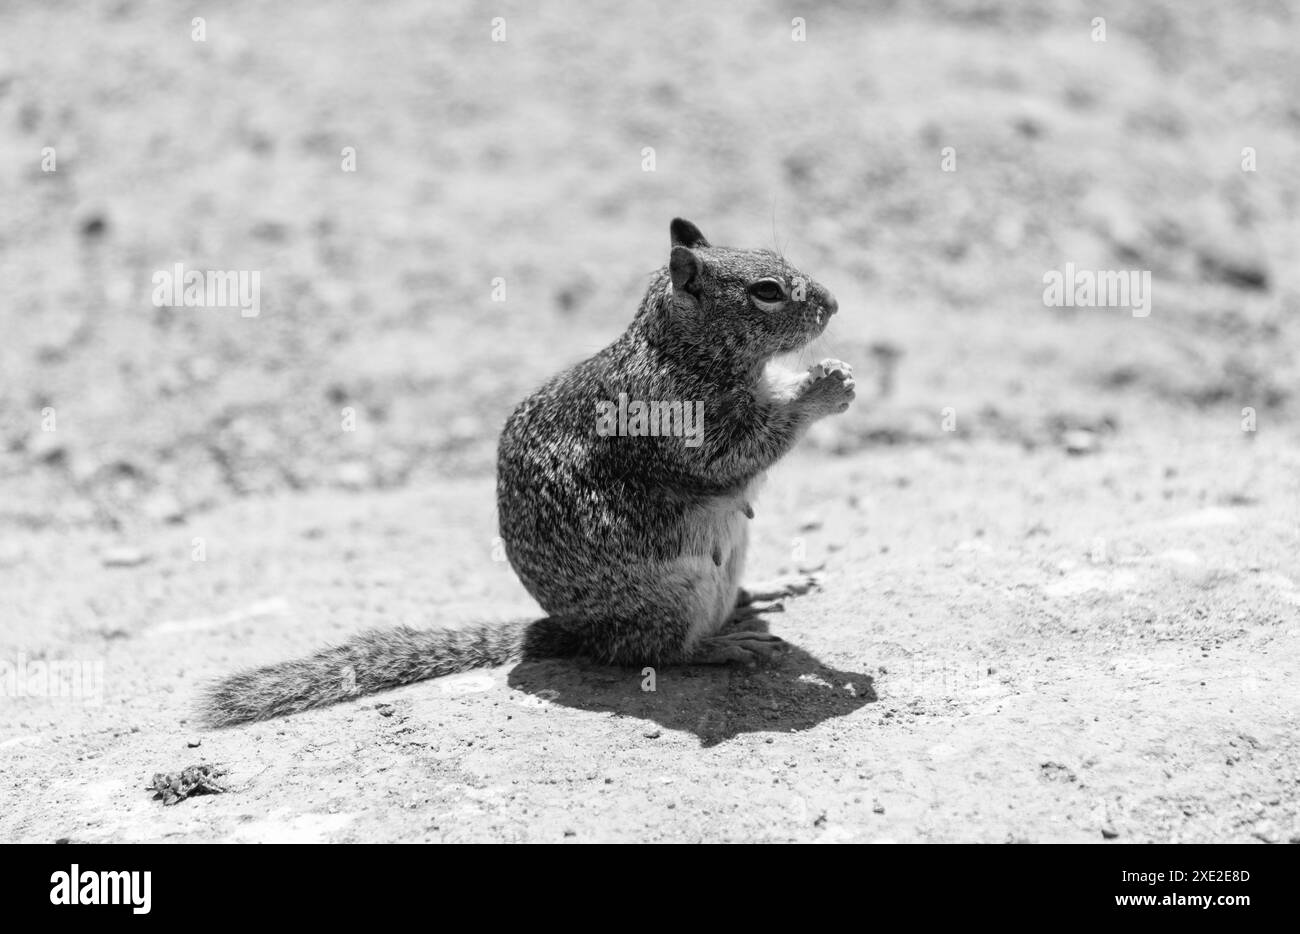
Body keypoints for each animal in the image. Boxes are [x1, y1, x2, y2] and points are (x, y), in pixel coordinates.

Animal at [202, 218, 854, 726]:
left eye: (776, 256)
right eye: (766, 291)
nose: (834, 303)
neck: (681, 348)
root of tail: (576, 633)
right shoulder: (679, 420)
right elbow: (739, 454)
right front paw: (823, 389)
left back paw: (761, 591)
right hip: (673, 596)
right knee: (655, 652)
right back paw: (722, 644)